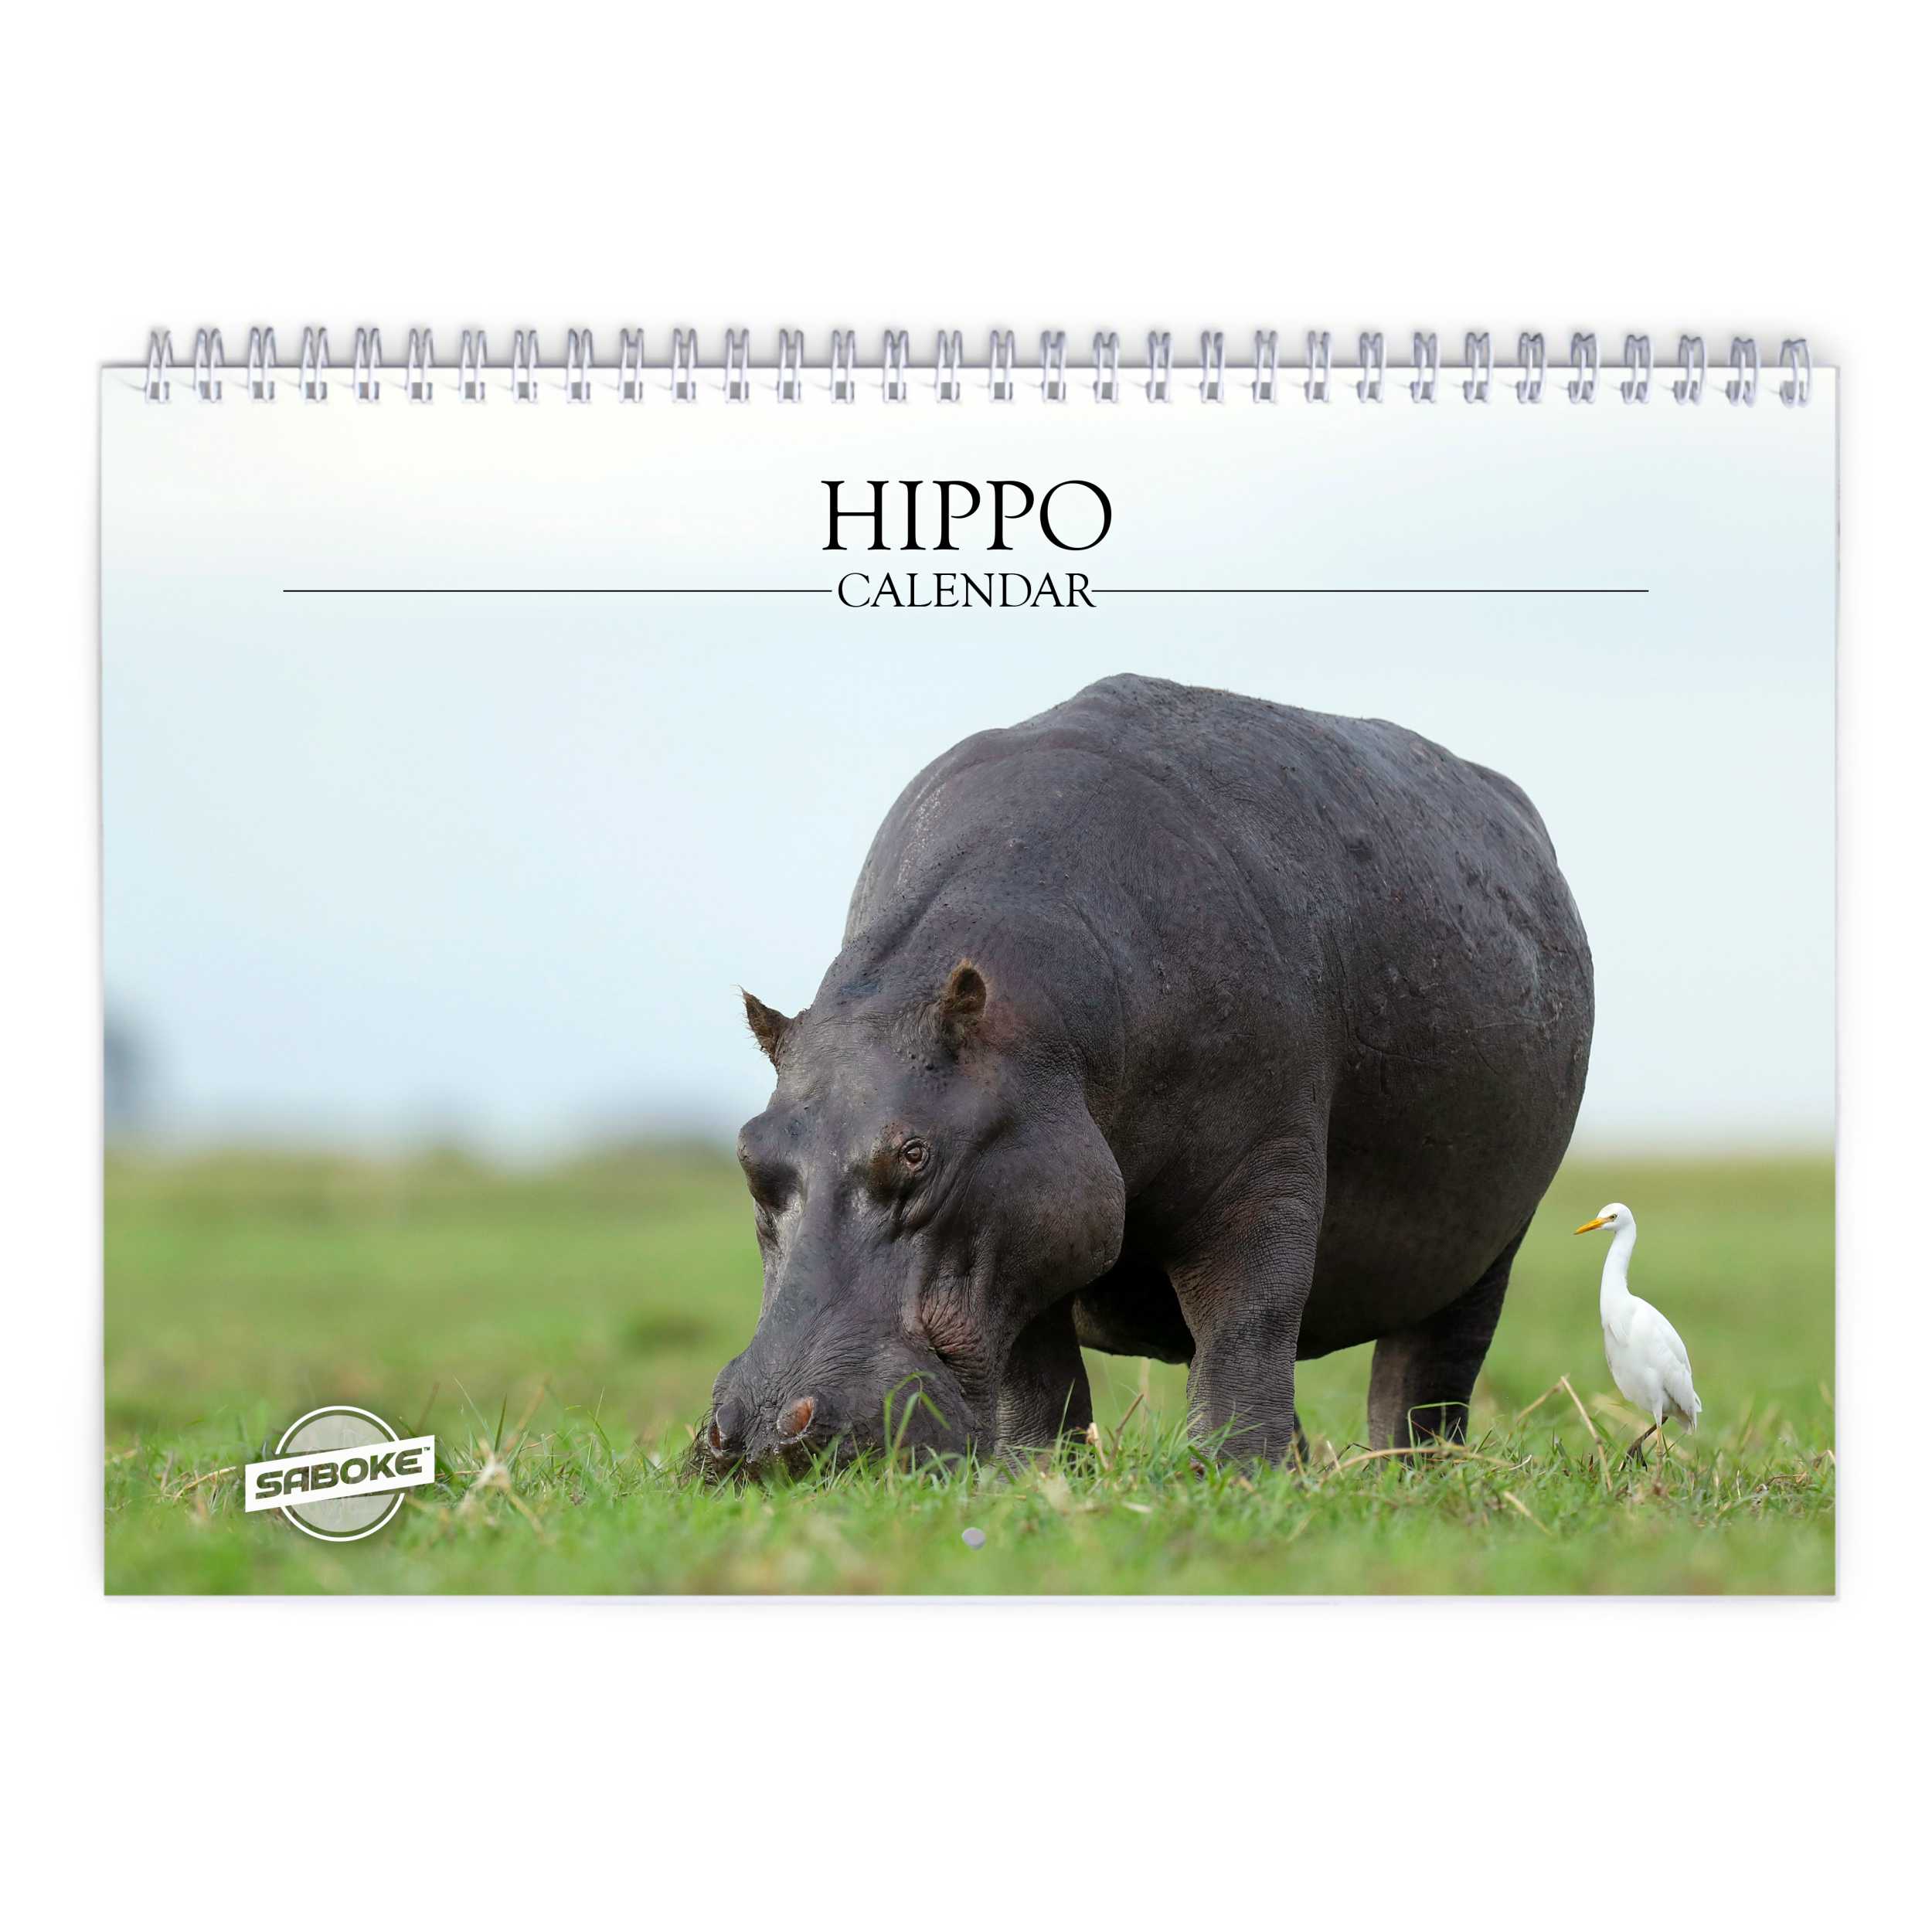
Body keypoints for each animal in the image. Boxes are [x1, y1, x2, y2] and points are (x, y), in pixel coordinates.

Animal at [705, 673, 1592, 1474]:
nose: (757, 1438)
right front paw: (1036, 1479)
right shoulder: (1030, 1209)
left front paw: (1236, 1478)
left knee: (1422, 1375)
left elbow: (1248, 1321)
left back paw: (1407, 1475)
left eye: (917, 1153)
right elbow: (1036, 1376)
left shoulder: (1259, 1173)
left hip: (1491, 1244)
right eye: (749, 1153)